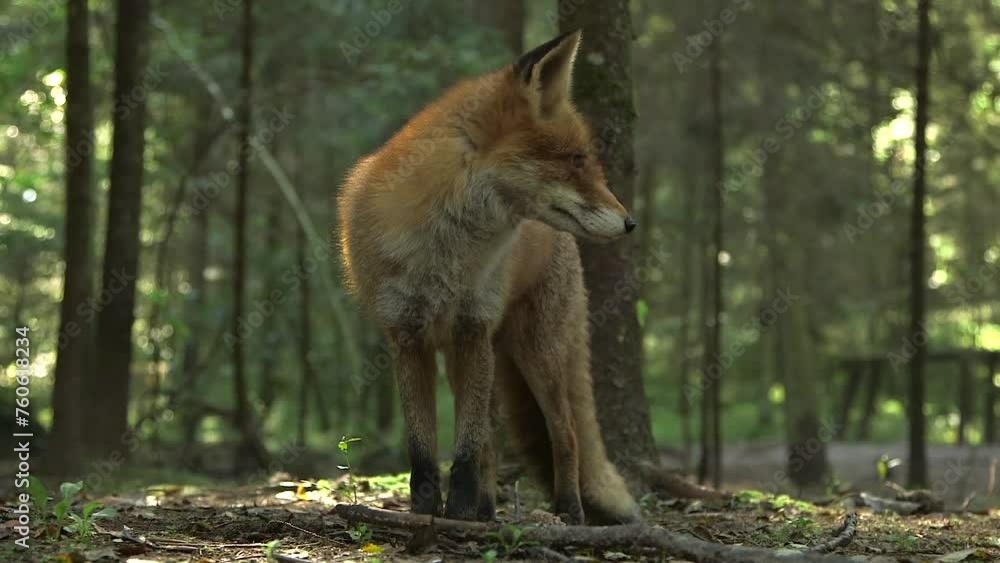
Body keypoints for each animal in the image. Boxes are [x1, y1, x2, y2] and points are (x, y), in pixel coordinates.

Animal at [337, 31, 640, 525]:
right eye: (576, 160)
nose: (631, 223)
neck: (442, 252)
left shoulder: (472, 327)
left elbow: (463, 453)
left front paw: (456, 514)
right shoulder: (408, 337)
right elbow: (423, 451)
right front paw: (426, 514)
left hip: (534, 353)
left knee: (566, 435)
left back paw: (569, 512)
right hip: (476, 362)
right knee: (493, 443)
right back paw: (486, 509)